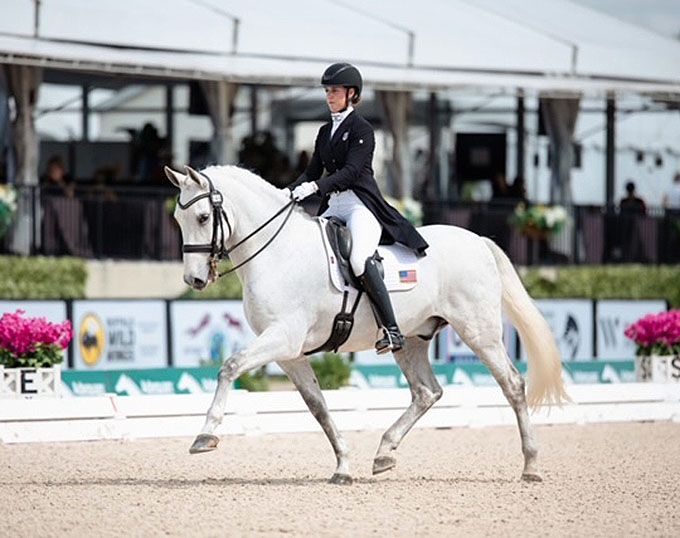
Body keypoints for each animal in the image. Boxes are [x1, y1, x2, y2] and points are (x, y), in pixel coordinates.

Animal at [165, 164, 569, 484]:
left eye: (203, 218)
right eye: (178, 220)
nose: (193, 280)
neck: (277, 252)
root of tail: (479, 241)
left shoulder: (283, 337)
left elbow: (229, 367)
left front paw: (205, 436)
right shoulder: (289, 353)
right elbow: (318, 407)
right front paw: (343, 466)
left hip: (479, 331)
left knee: (512, 384)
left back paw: (531, 466)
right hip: (414, 337)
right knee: (427, 391)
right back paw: (385, 453)